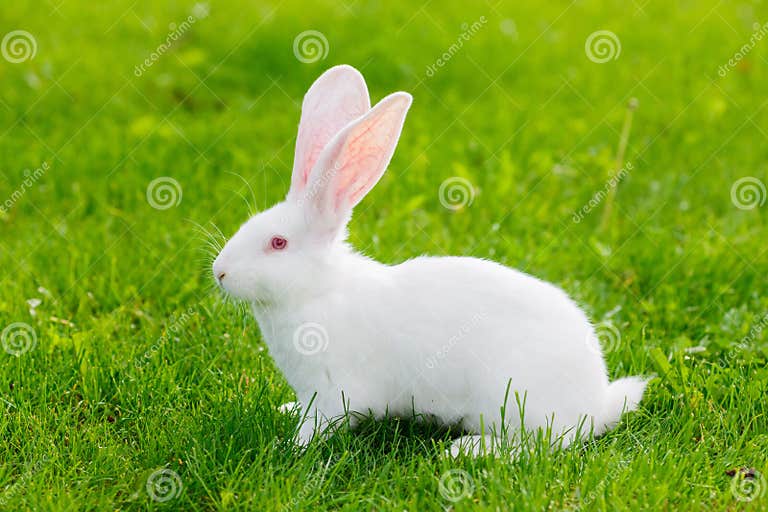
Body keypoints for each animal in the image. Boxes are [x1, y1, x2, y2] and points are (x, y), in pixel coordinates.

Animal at [212, 64, 646, 457]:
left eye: (278, 243)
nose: (219, 272)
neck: (317, 290)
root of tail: (595, 405)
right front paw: (285, 412)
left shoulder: (334, 392)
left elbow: (318, 425)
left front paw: (288, 446)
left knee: (539, 445)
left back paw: (468, 450)